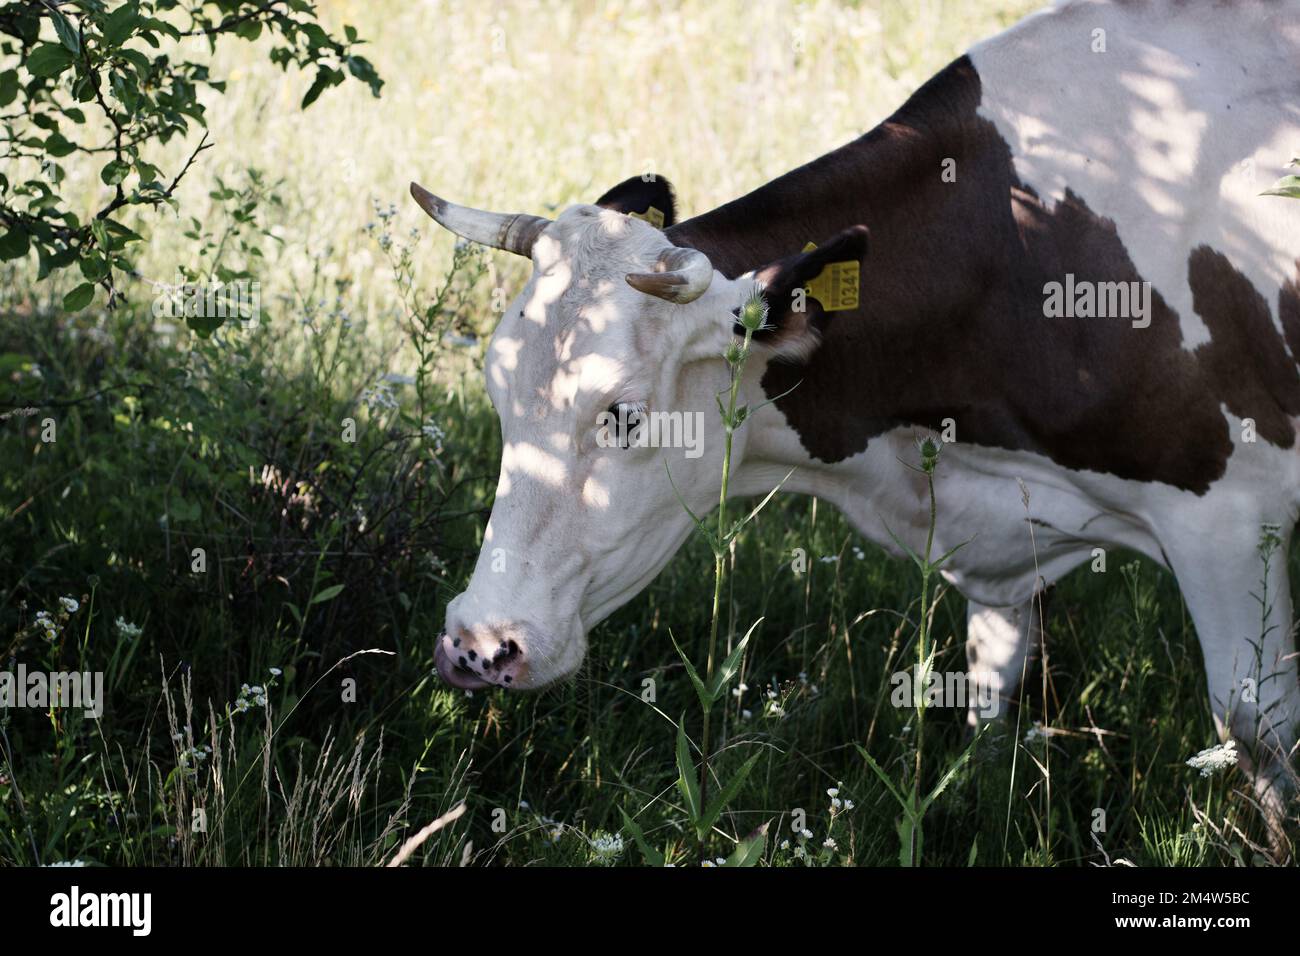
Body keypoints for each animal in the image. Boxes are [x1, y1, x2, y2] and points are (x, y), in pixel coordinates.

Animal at [411, 0, 1300, 838]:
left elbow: (1259, 725)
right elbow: (988, 695)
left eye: (622, 414)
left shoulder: (1228, 521)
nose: (475, 645)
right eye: (495, 388)